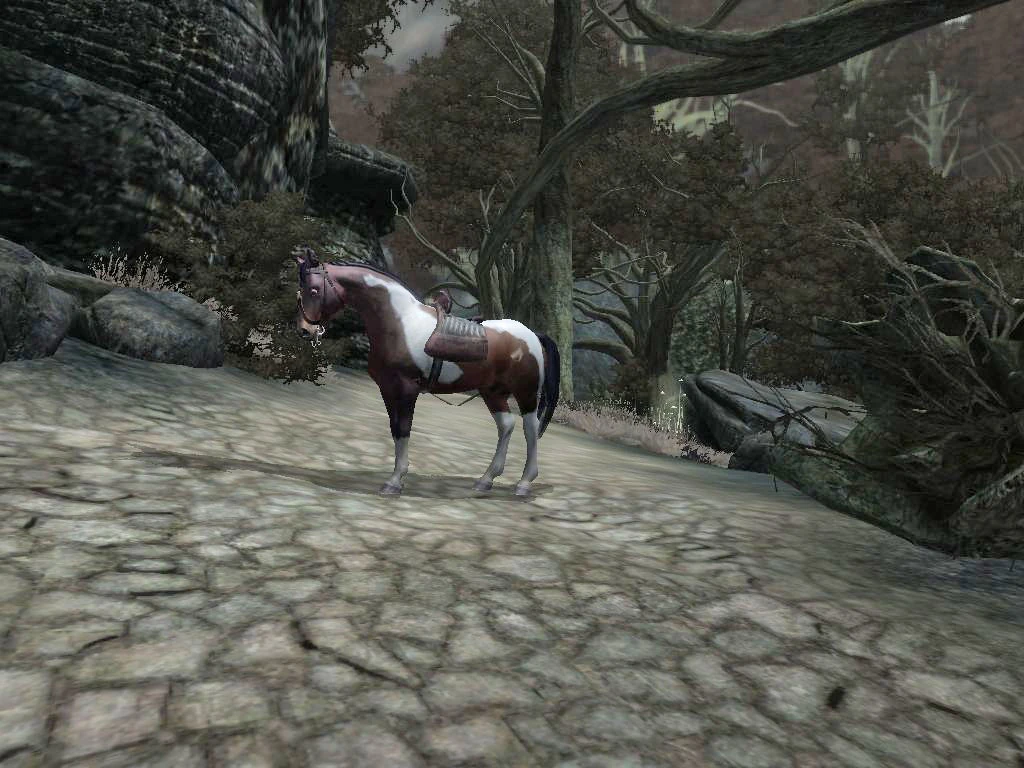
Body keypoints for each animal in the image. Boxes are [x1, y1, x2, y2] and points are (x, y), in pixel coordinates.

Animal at [293, 247, 561, 497]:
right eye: (301, 290)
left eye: (314, 290)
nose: (305, 331)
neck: (401, 322)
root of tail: (533, 335)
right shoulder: (388, 389)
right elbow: (395, 430)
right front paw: (396, 479)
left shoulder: (406, 389)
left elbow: (403, 430)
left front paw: (394, 482)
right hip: (493, 392)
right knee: (506, 425)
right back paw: (485, 481)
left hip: (526, 393)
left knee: (530, 429)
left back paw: (524, 483)